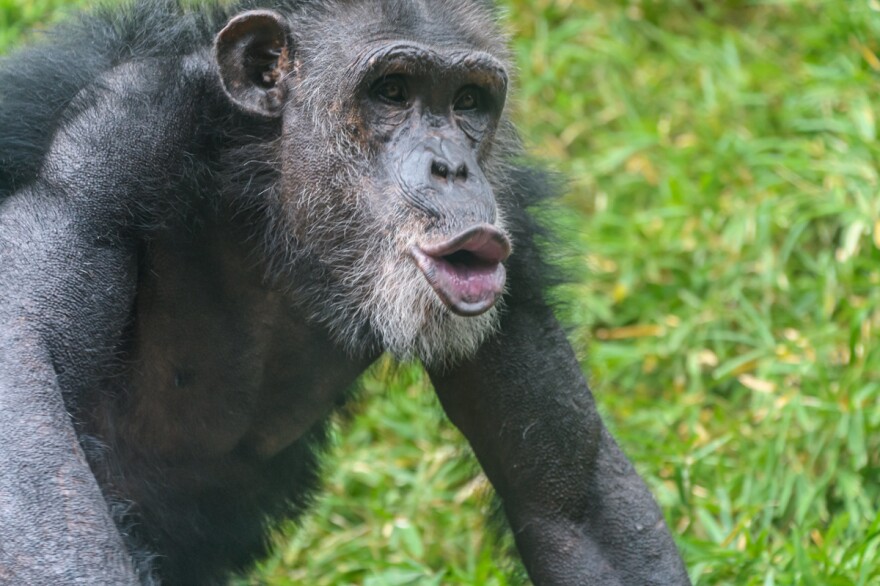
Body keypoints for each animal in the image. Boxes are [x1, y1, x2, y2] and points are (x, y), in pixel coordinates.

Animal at [0, 1, 690, 584]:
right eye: (392, 91)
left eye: (469, 100)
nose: (452, 167)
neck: (271, 190)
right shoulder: (115, 138)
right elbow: (26, 379)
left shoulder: (510, 213)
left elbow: (573, 509)